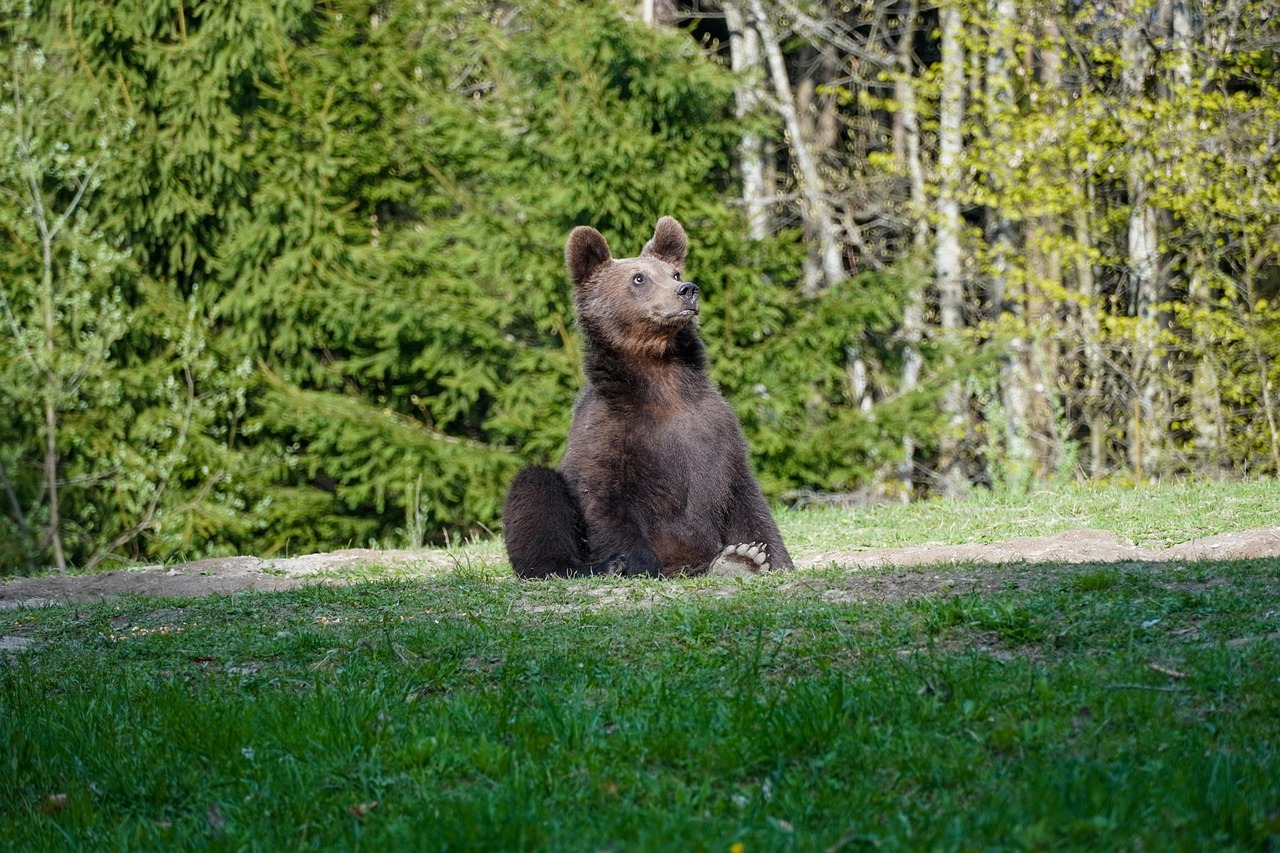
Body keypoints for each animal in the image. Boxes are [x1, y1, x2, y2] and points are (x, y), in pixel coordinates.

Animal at [503, 216, 793, 579]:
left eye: (675, 273)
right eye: (639, 278)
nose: (687, 290)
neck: (662, 381)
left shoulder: (716, 430)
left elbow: (746, 499)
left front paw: (762, 556)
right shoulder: (609, 433)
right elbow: (606, 502)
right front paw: (635, 563)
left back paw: (732, 561)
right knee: (535, 488)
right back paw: (597, 566)